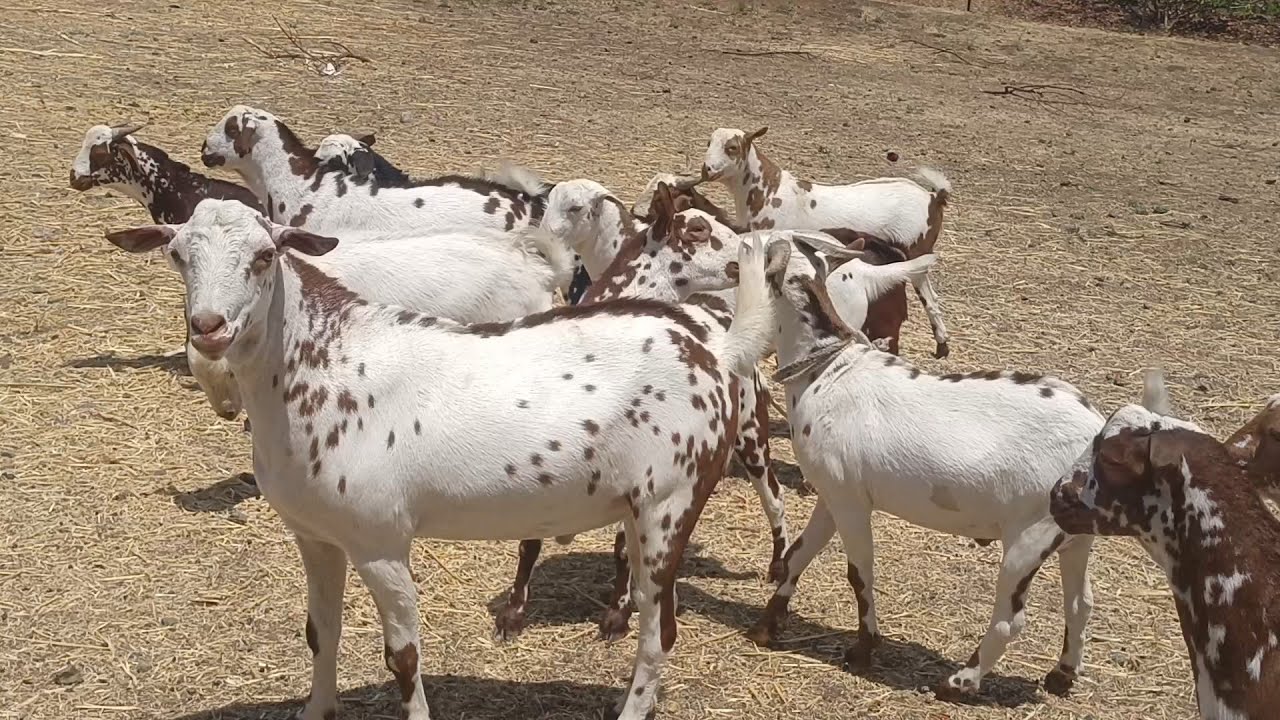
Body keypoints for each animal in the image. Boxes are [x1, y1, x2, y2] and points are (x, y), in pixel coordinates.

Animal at [699, 127, 954, 358]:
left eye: (732, 148)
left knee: (929, 297)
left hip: (917, 251)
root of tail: (933, 197)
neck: (769, 192)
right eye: (709, 142)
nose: (706, 169)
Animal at [748, 232, 1103, 699]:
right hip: (1074, 537)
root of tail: (1098, 430)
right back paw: (1061, 675)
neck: (827, 373)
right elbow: (797, 556)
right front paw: (766, 627)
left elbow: (860, 574)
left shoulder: (851, 502)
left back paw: (959, 681)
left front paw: (863, 650)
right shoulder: (833, 494)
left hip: (1030, 533)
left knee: (1011, 621)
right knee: (1080, 604)